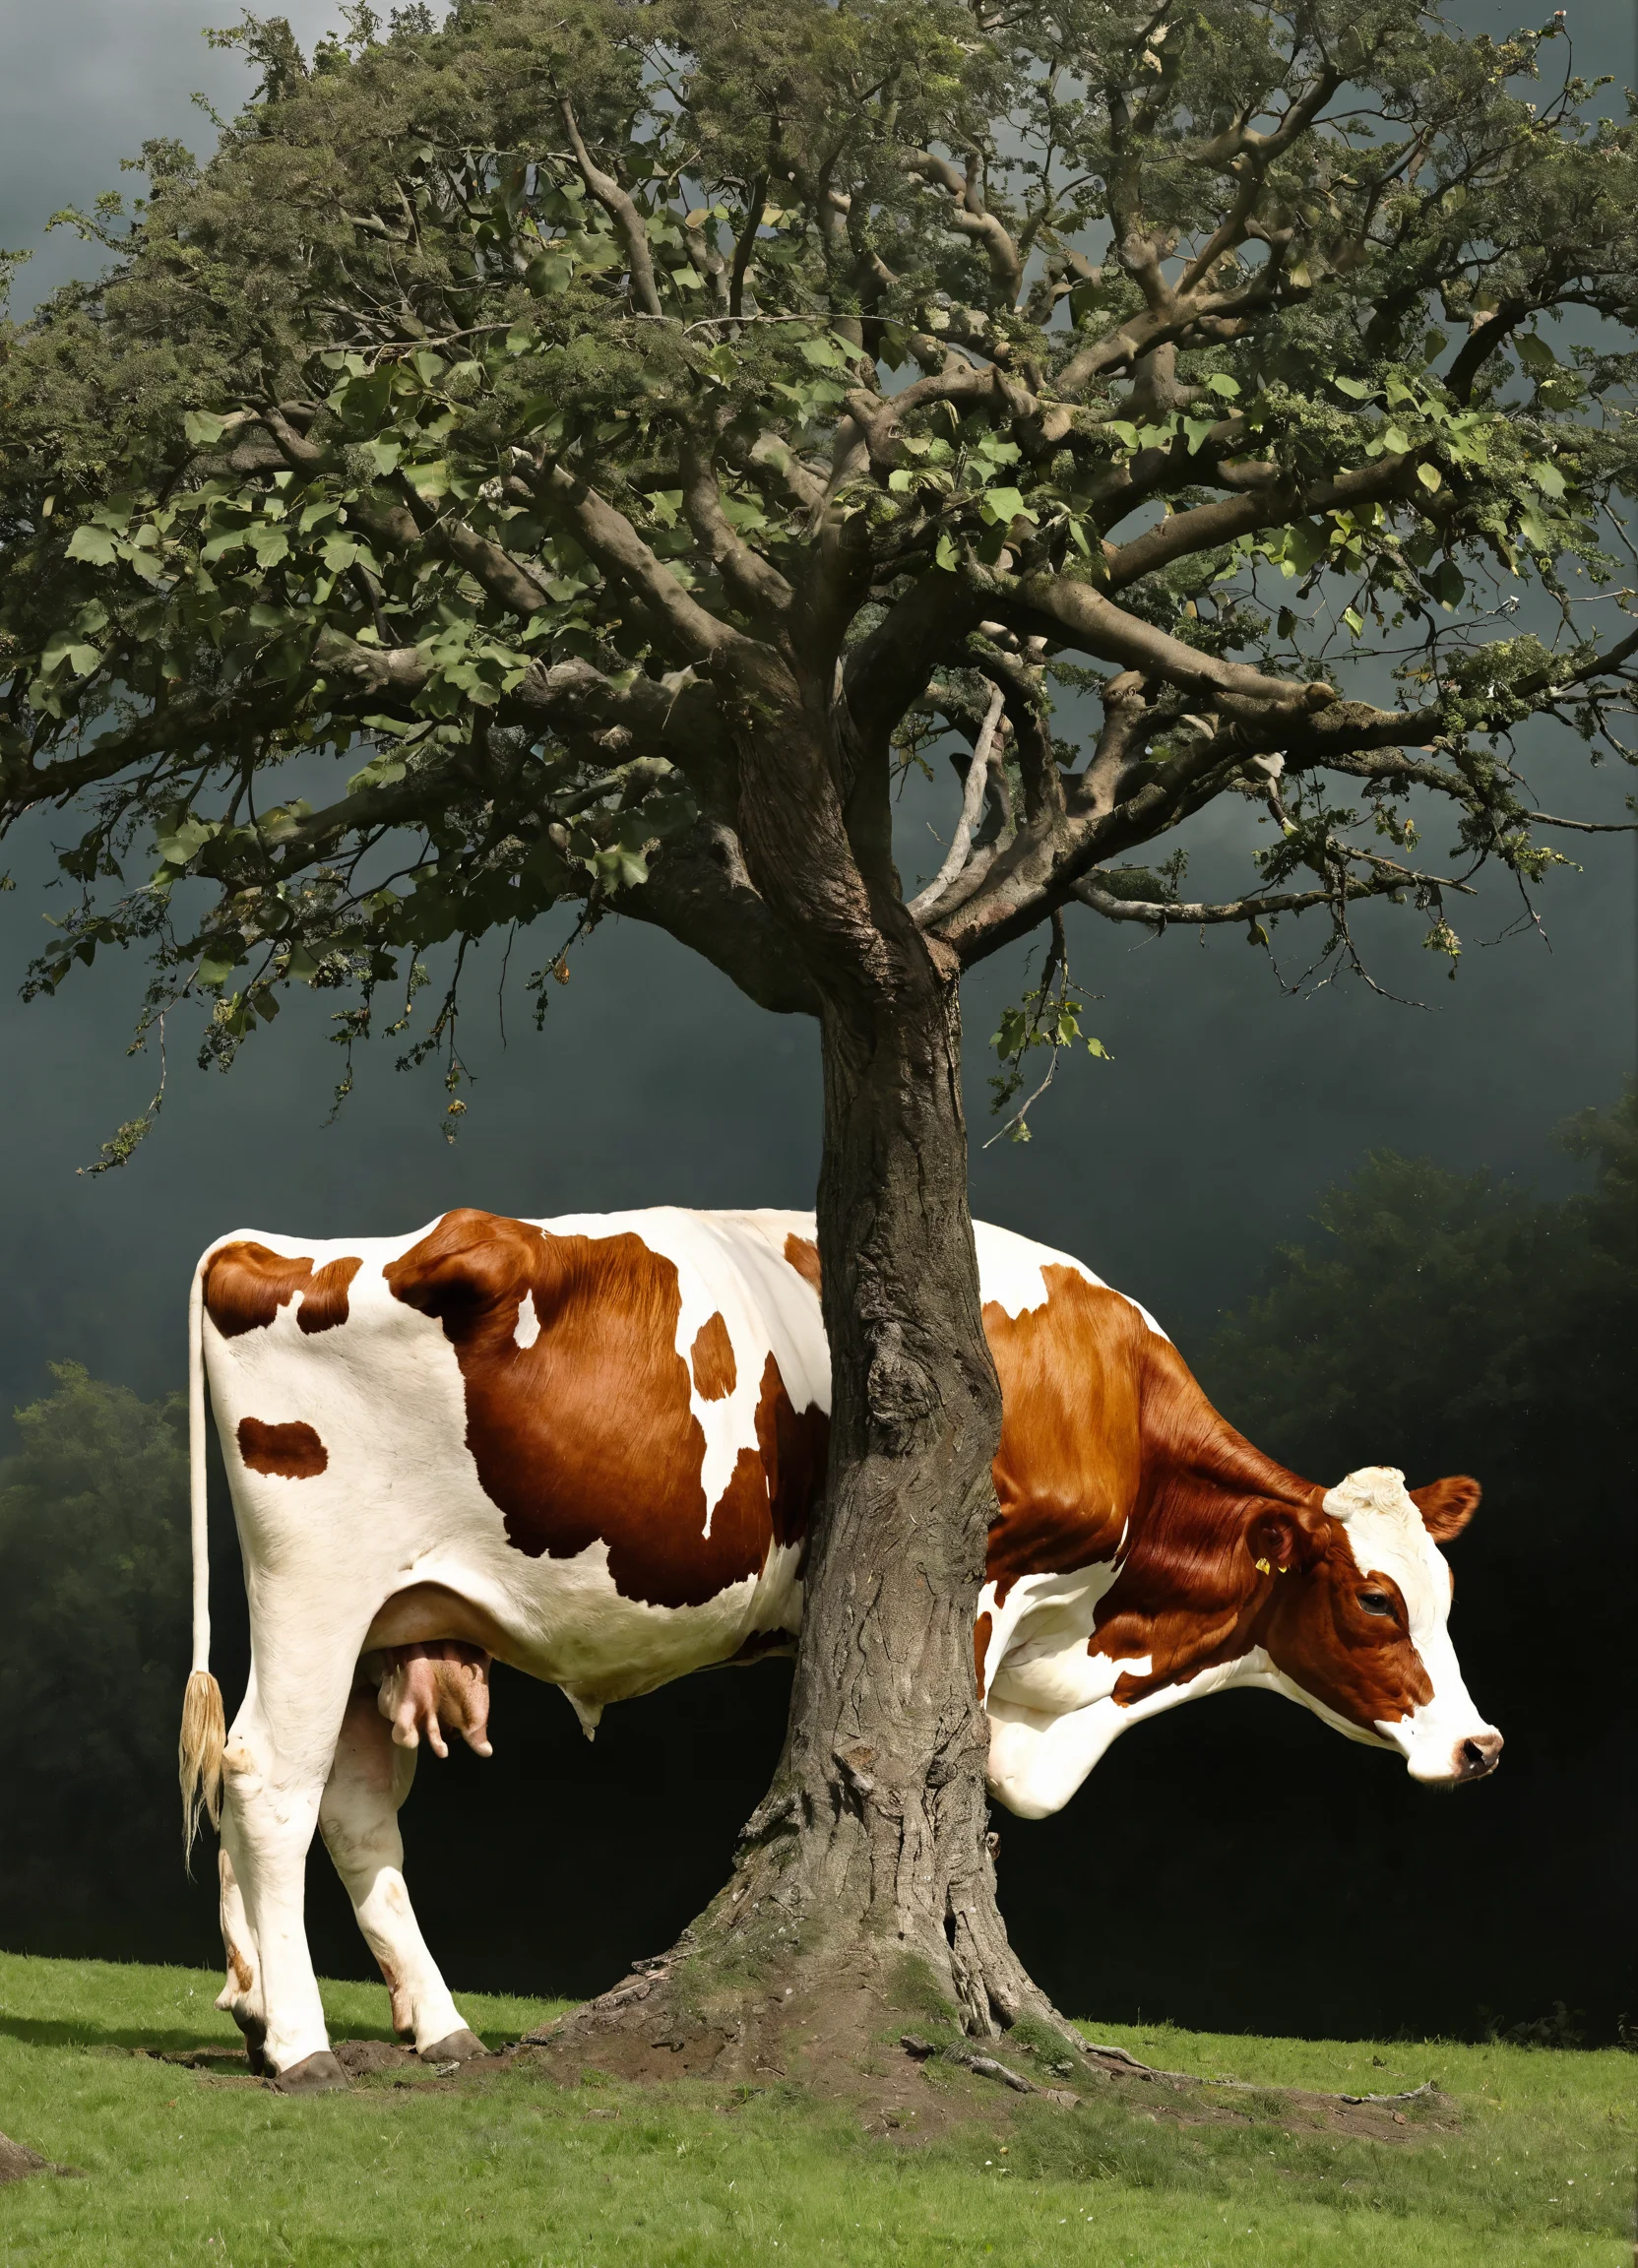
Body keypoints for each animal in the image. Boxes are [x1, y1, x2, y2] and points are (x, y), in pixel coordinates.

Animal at [178, 1206, 1501, 2088]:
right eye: (1375, 1601)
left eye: (1442, 1590)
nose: (1478, 1746)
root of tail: (268, 1244)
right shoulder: (985, 1580)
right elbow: (947, 1768)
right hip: (318, 1585)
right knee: (269, 1779)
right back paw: (298, 2042)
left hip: (390, 1617)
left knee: (353, 1809)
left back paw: (408, 2022)